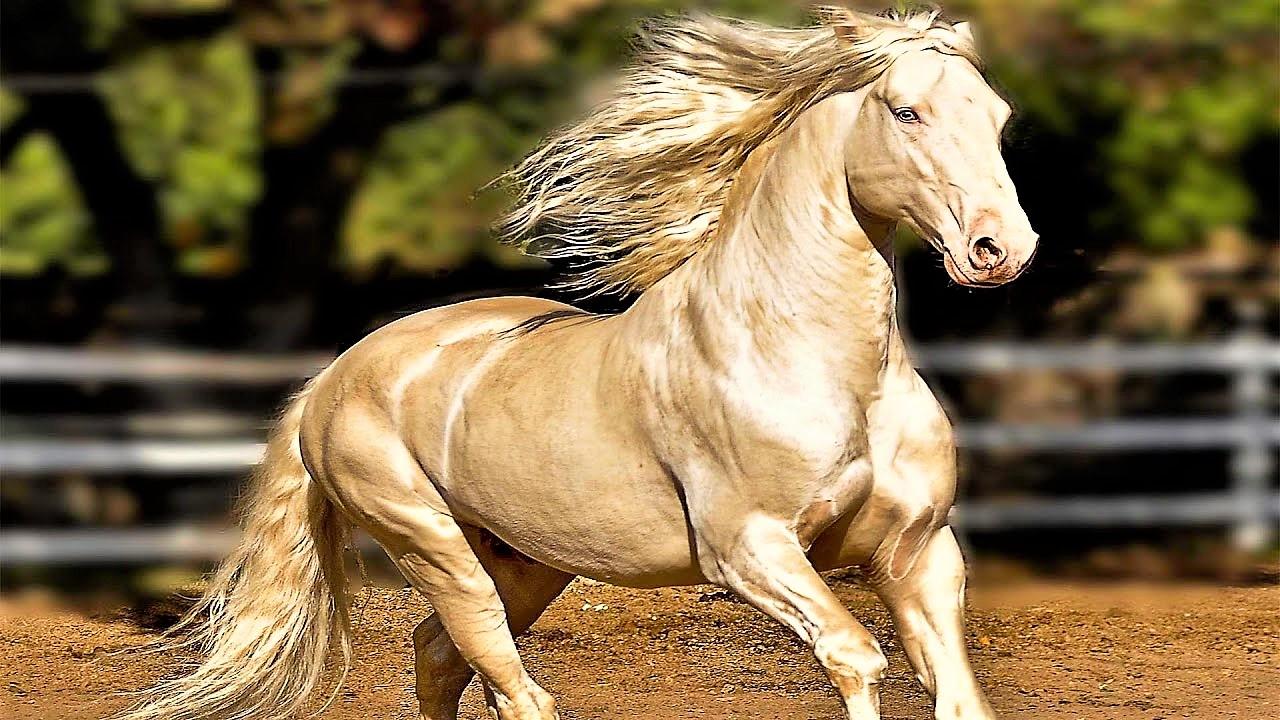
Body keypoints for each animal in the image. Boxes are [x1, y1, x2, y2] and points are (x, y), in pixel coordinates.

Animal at [119, 8, 1038, 720]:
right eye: (906, 111)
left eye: (996, 116)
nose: (1001, 249)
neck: (813, 361)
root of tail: (333, 377)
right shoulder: (752, 550)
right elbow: (856, 658)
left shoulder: (917, 555)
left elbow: (958, 696)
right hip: (433, 547)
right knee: (507, 683)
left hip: (526, 562)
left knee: (438, 659)